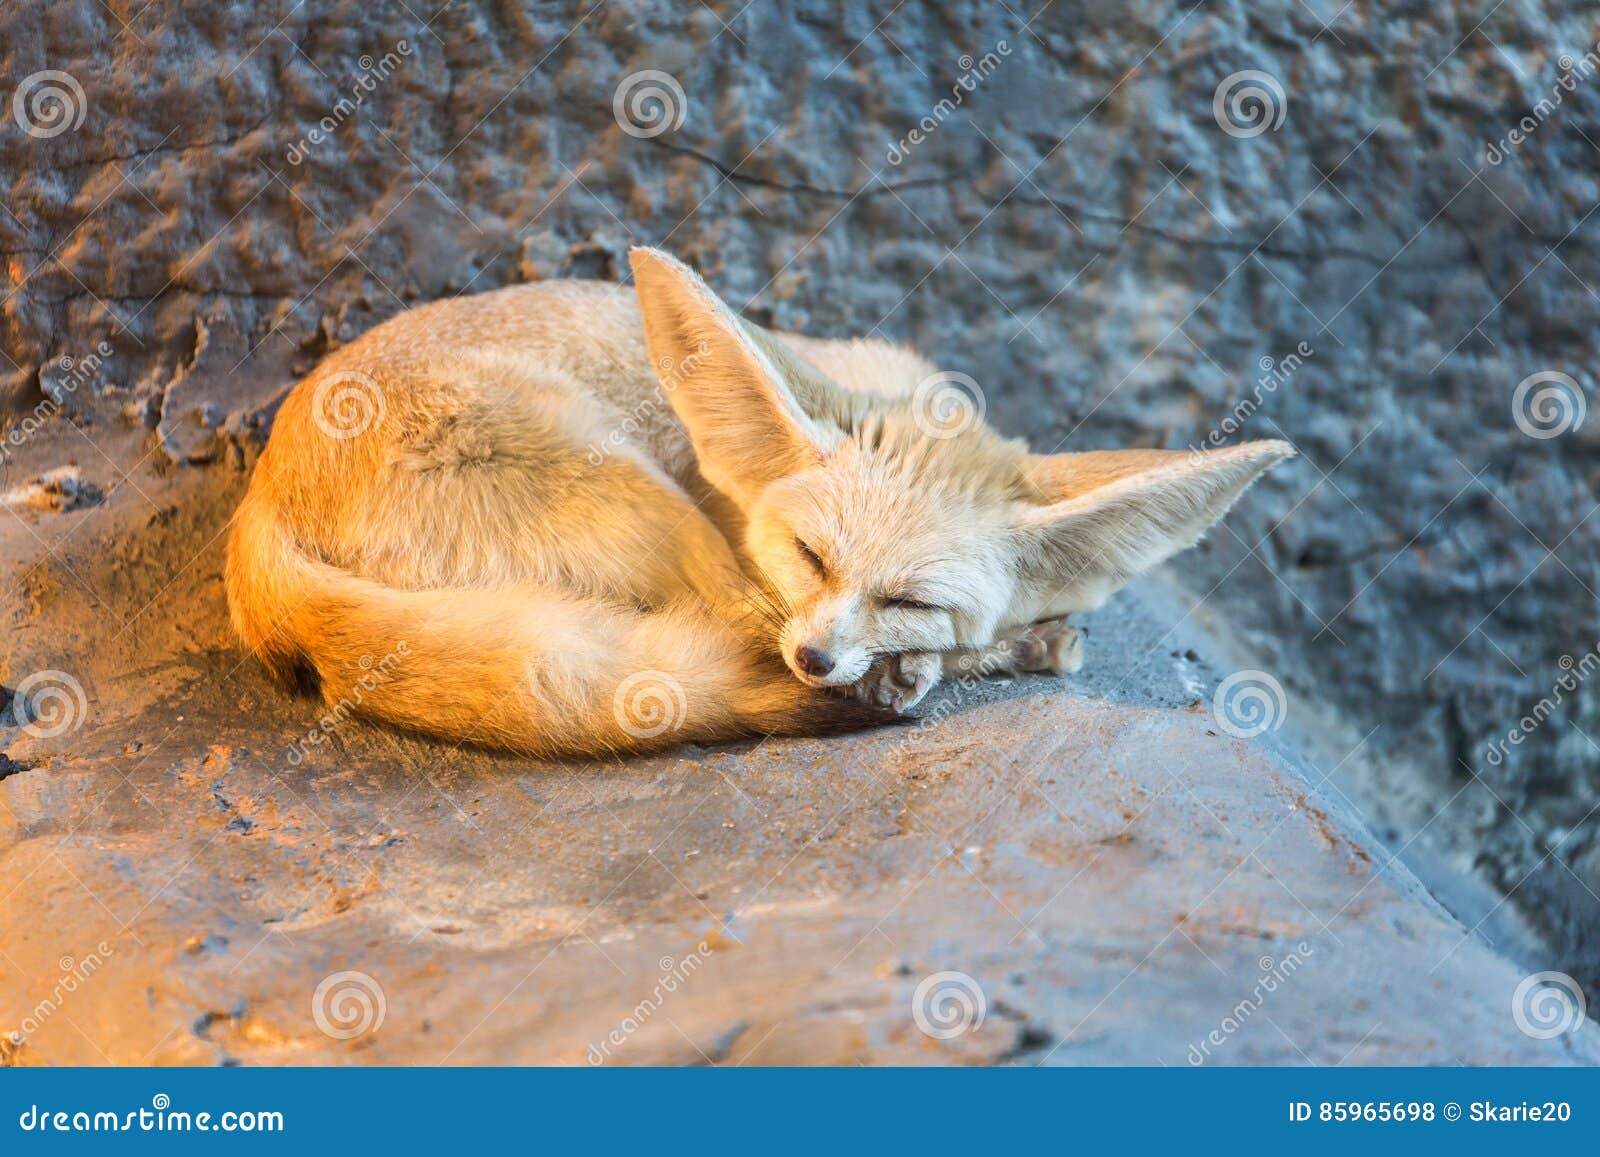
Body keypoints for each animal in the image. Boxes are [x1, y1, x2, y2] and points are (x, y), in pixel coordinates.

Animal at [225, 247, 1293, 758]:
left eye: (910, 596)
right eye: (813, 556)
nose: (817, 658)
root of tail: (257, 517)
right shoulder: (765, 582)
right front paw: (961, 658)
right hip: (640, 497)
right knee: (730, 633)